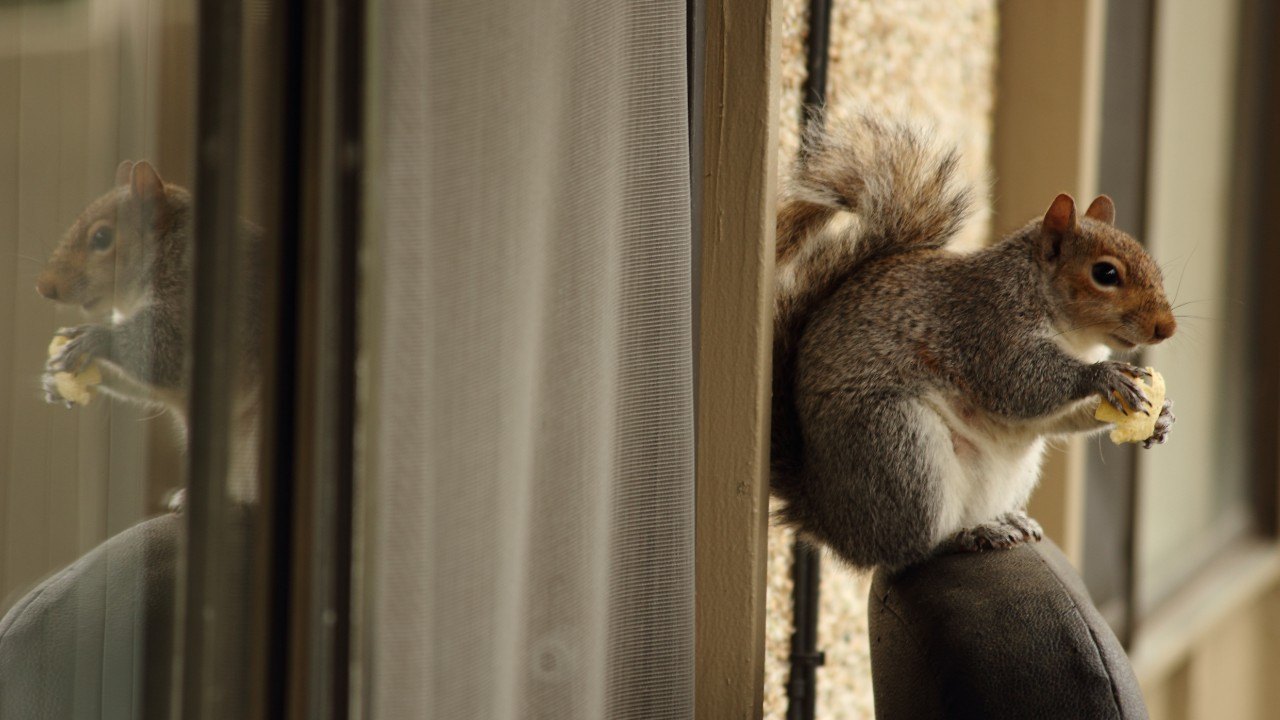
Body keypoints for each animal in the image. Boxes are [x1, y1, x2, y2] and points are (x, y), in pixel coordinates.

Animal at [771, 113, 1177, 571]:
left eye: (1152, 263)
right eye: (1105, 274)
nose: (1167, 328)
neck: (1075, 335)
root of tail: (830, 519)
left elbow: (1054, 417)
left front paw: (1162, 417)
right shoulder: (986, 328)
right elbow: (1019, 384)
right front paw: (1102, 376)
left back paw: (1005, 520)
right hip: (896, 446)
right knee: (909, 551)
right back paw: (965, 536)